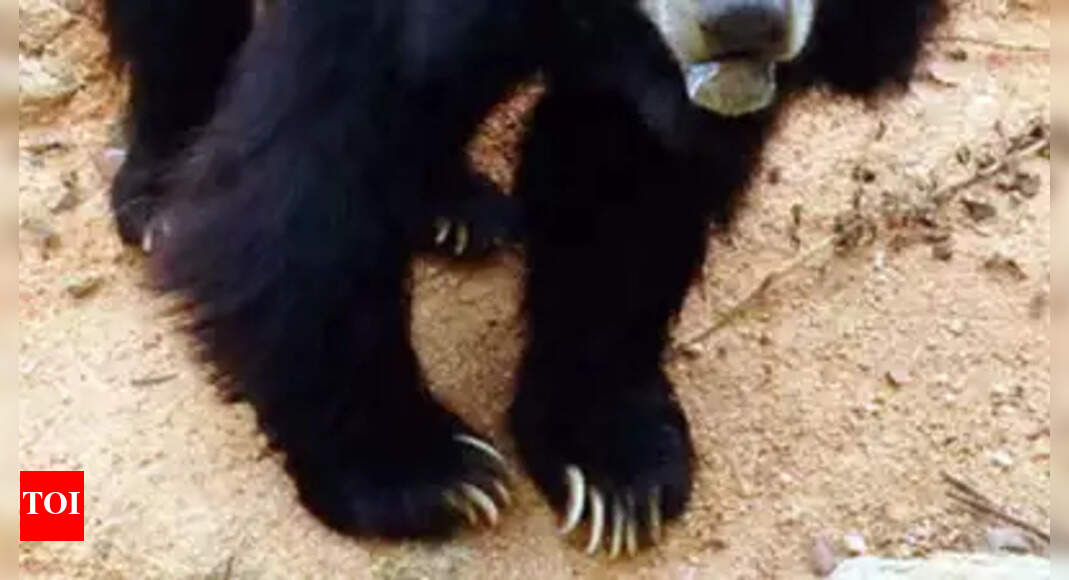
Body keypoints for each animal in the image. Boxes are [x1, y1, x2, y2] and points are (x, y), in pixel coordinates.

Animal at [102, 0, 944, 556]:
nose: (744, 24)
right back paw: (159, 193)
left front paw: (615, 474)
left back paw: (453, 207)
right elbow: (313, 169)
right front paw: (424, 476)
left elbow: (624, 187)